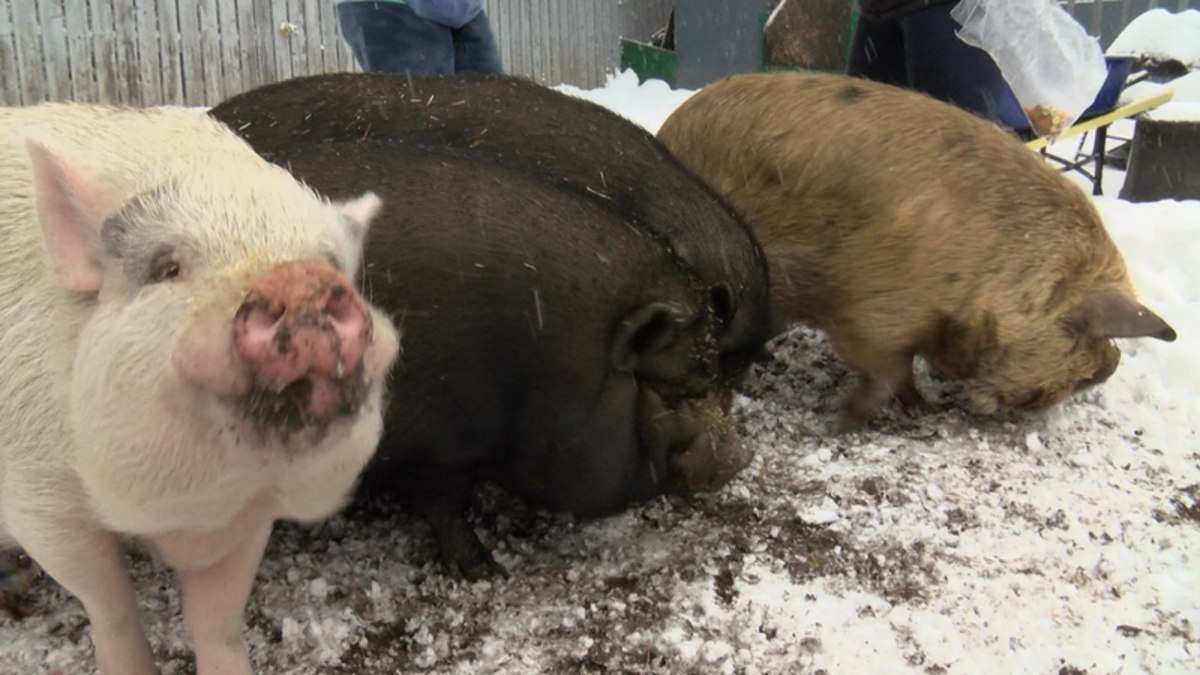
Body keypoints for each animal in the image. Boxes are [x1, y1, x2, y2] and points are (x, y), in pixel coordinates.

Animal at [0, 103, 400, 675]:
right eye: (167, 268)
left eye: (329, 264)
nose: (299, 279)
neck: (191, 508)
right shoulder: (38, 499)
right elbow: (107, 603)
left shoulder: (246, 519)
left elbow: (215, 619)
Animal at [271, 138, 752, 579]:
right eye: (674, 385)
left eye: (717, 376)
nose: (739, 457)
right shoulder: (434, 439)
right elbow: (444, 504)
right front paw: (485, 569)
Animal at [655, 72, 1177, 431]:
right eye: (1082, 341)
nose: (1111, 363)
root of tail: (667, 128)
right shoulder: (871, 310)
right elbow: (886, 369)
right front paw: (844, 420)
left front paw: (921, 409)